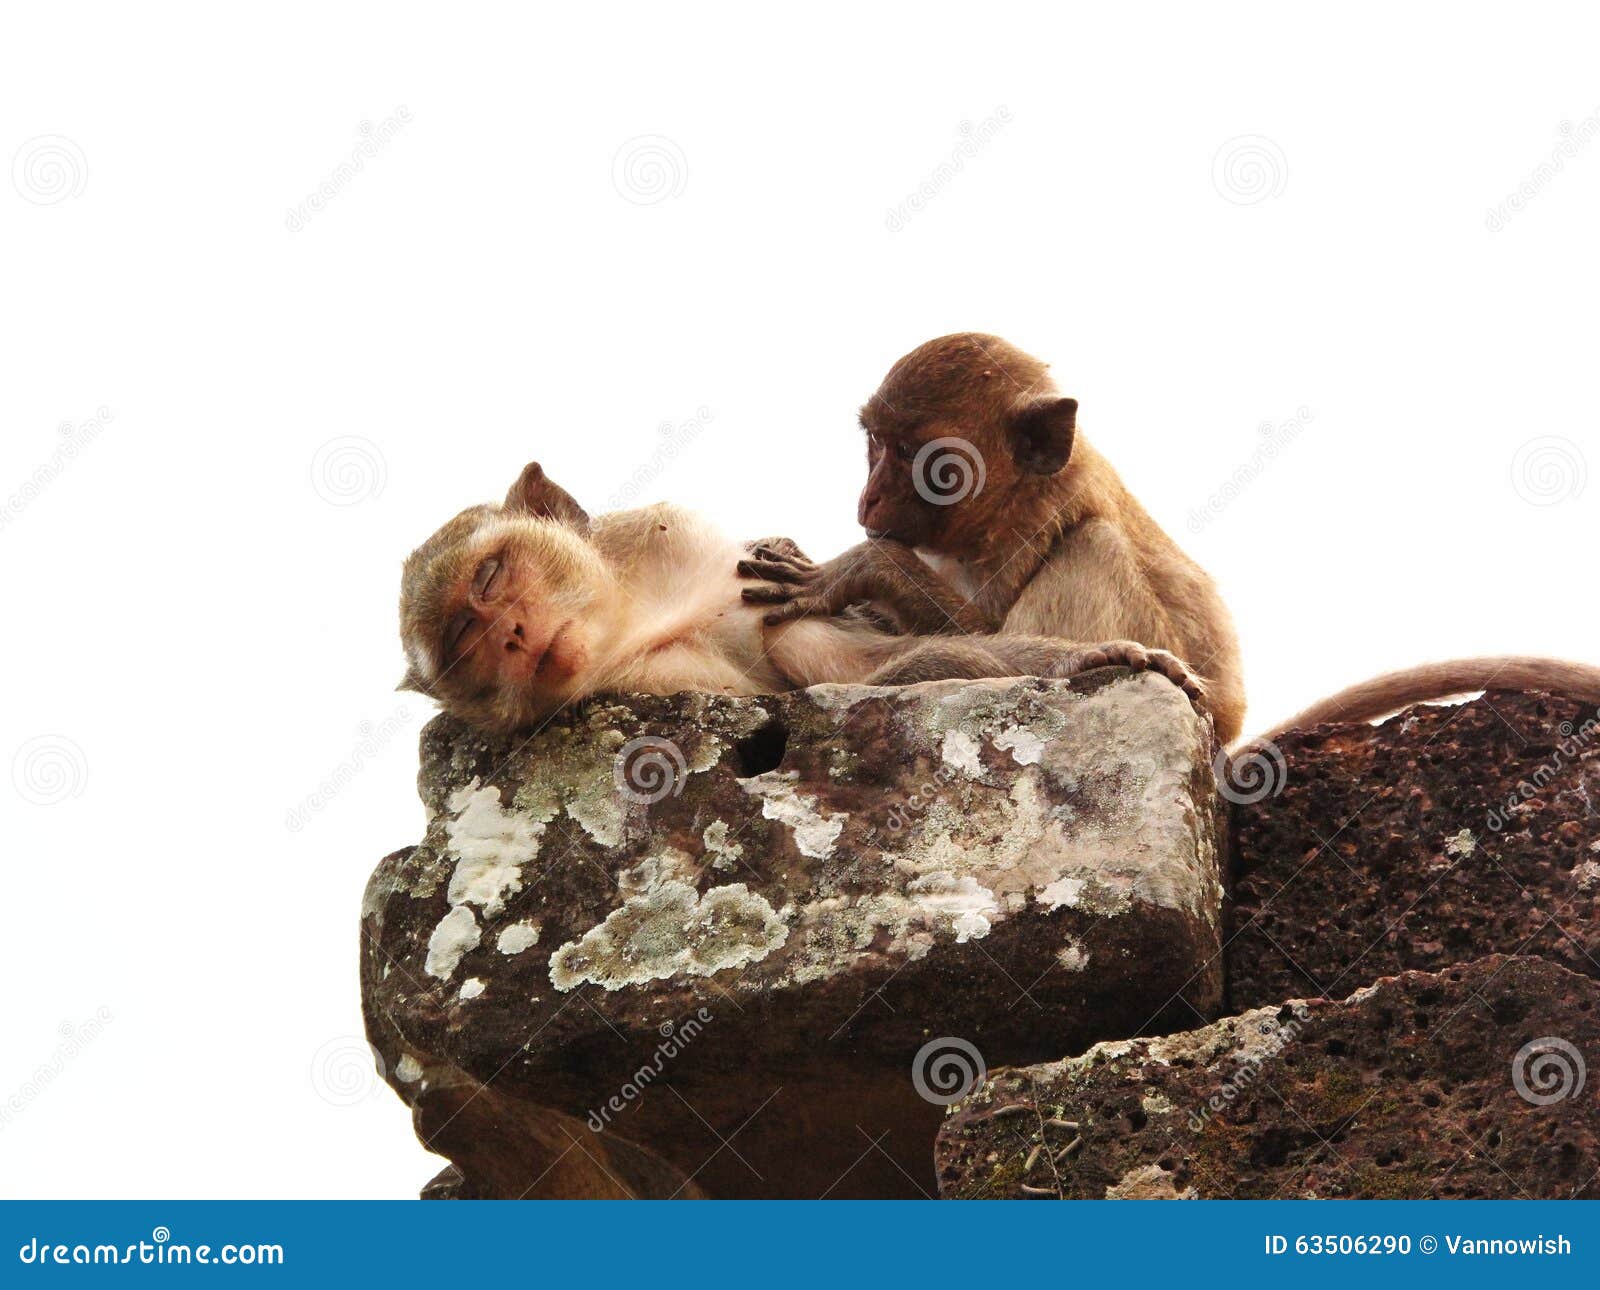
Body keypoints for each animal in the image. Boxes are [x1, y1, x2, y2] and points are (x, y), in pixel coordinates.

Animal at [397, 462, 1209, 735]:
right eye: (462, 642)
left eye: (491, 577)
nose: (510, 634)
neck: (633, 623)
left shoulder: (676, 539)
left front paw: (1088, 657)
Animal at [737, 332, 1600, 746]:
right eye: (875, 444)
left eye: (927, 464)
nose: (870, 498)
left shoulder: (1041, 514)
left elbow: (984, 618)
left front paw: (853, 568)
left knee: (1092, 547)